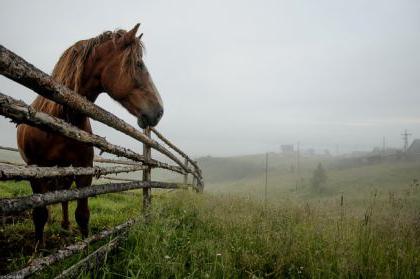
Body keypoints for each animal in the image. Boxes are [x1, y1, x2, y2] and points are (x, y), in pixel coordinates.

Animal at [16, 24, 164, 247]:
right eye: (138, 64)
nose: (159, 111)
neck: (60, 117)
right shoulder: (36, 170)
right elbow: (40, 213)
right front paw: (38, 248)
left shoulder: (84, 169)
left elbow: (82, 214)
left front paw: (85, 248)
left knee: (64, 196)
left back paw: (65, 225)